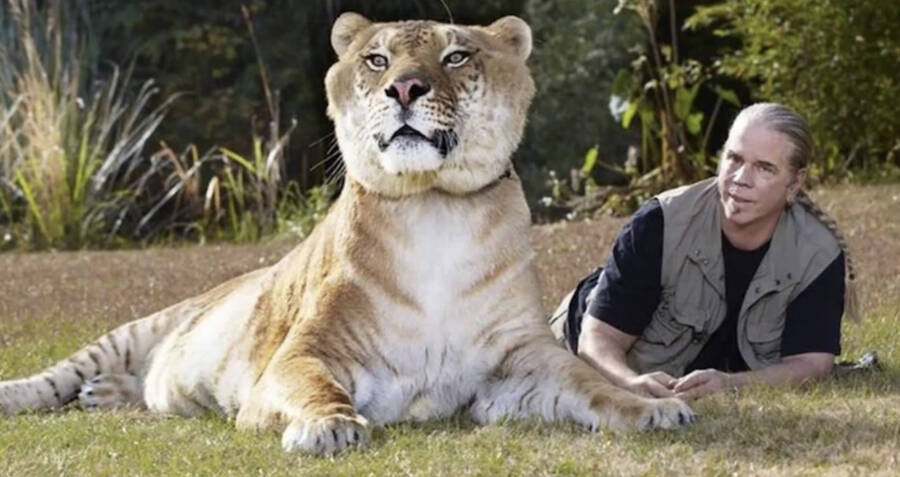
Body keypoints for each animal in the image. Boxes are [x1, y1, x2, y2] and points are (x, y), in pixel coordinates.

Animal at [0, 13, 694, 455]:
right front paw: (329, 428)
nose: (404, 87)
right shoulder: (300, 356)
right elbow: (312, 387)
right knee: (61, 375)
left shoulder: (517, 362)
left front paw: (654, 408)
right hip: (139, 327)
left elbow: (590, 383)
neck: (434, 212)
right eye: (377, 58)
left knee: (146, 391)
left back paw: (106, 394)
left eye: (456, 55)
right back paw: (41, 391)